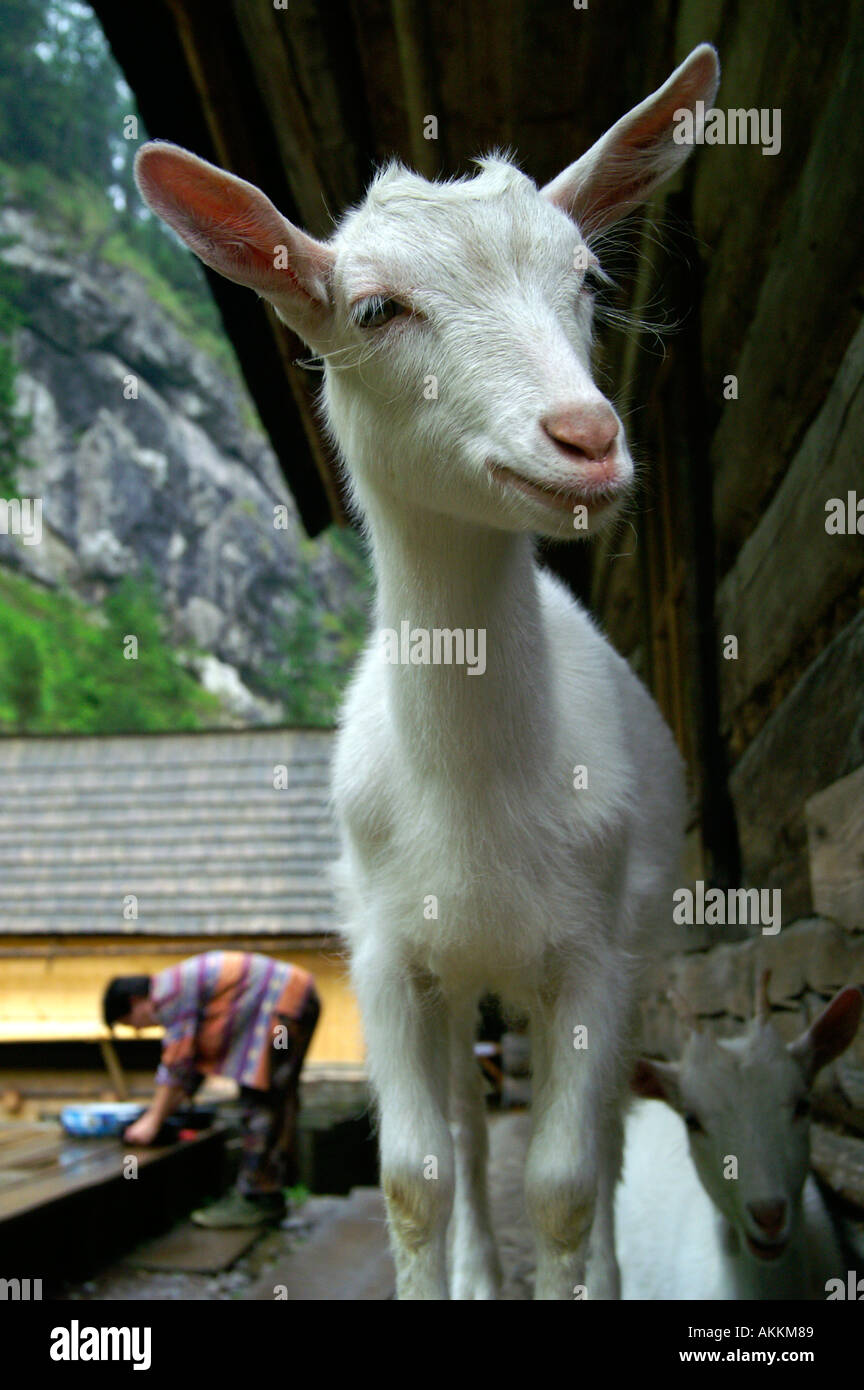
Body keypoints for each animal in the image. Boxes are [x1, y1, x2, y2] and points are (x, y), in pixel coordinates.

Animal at [134, 44, 720, 1299]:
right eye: (374, 307)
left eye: (590, 279)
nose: (587, 437)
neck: (477, 796)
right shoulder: (391, 955)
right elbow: (416, 1175)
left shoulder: (593, 955)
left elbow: (565, 1181)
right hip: (458, 985)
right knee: (463, 1130)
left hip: (629, 952)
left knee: (600, 1142)